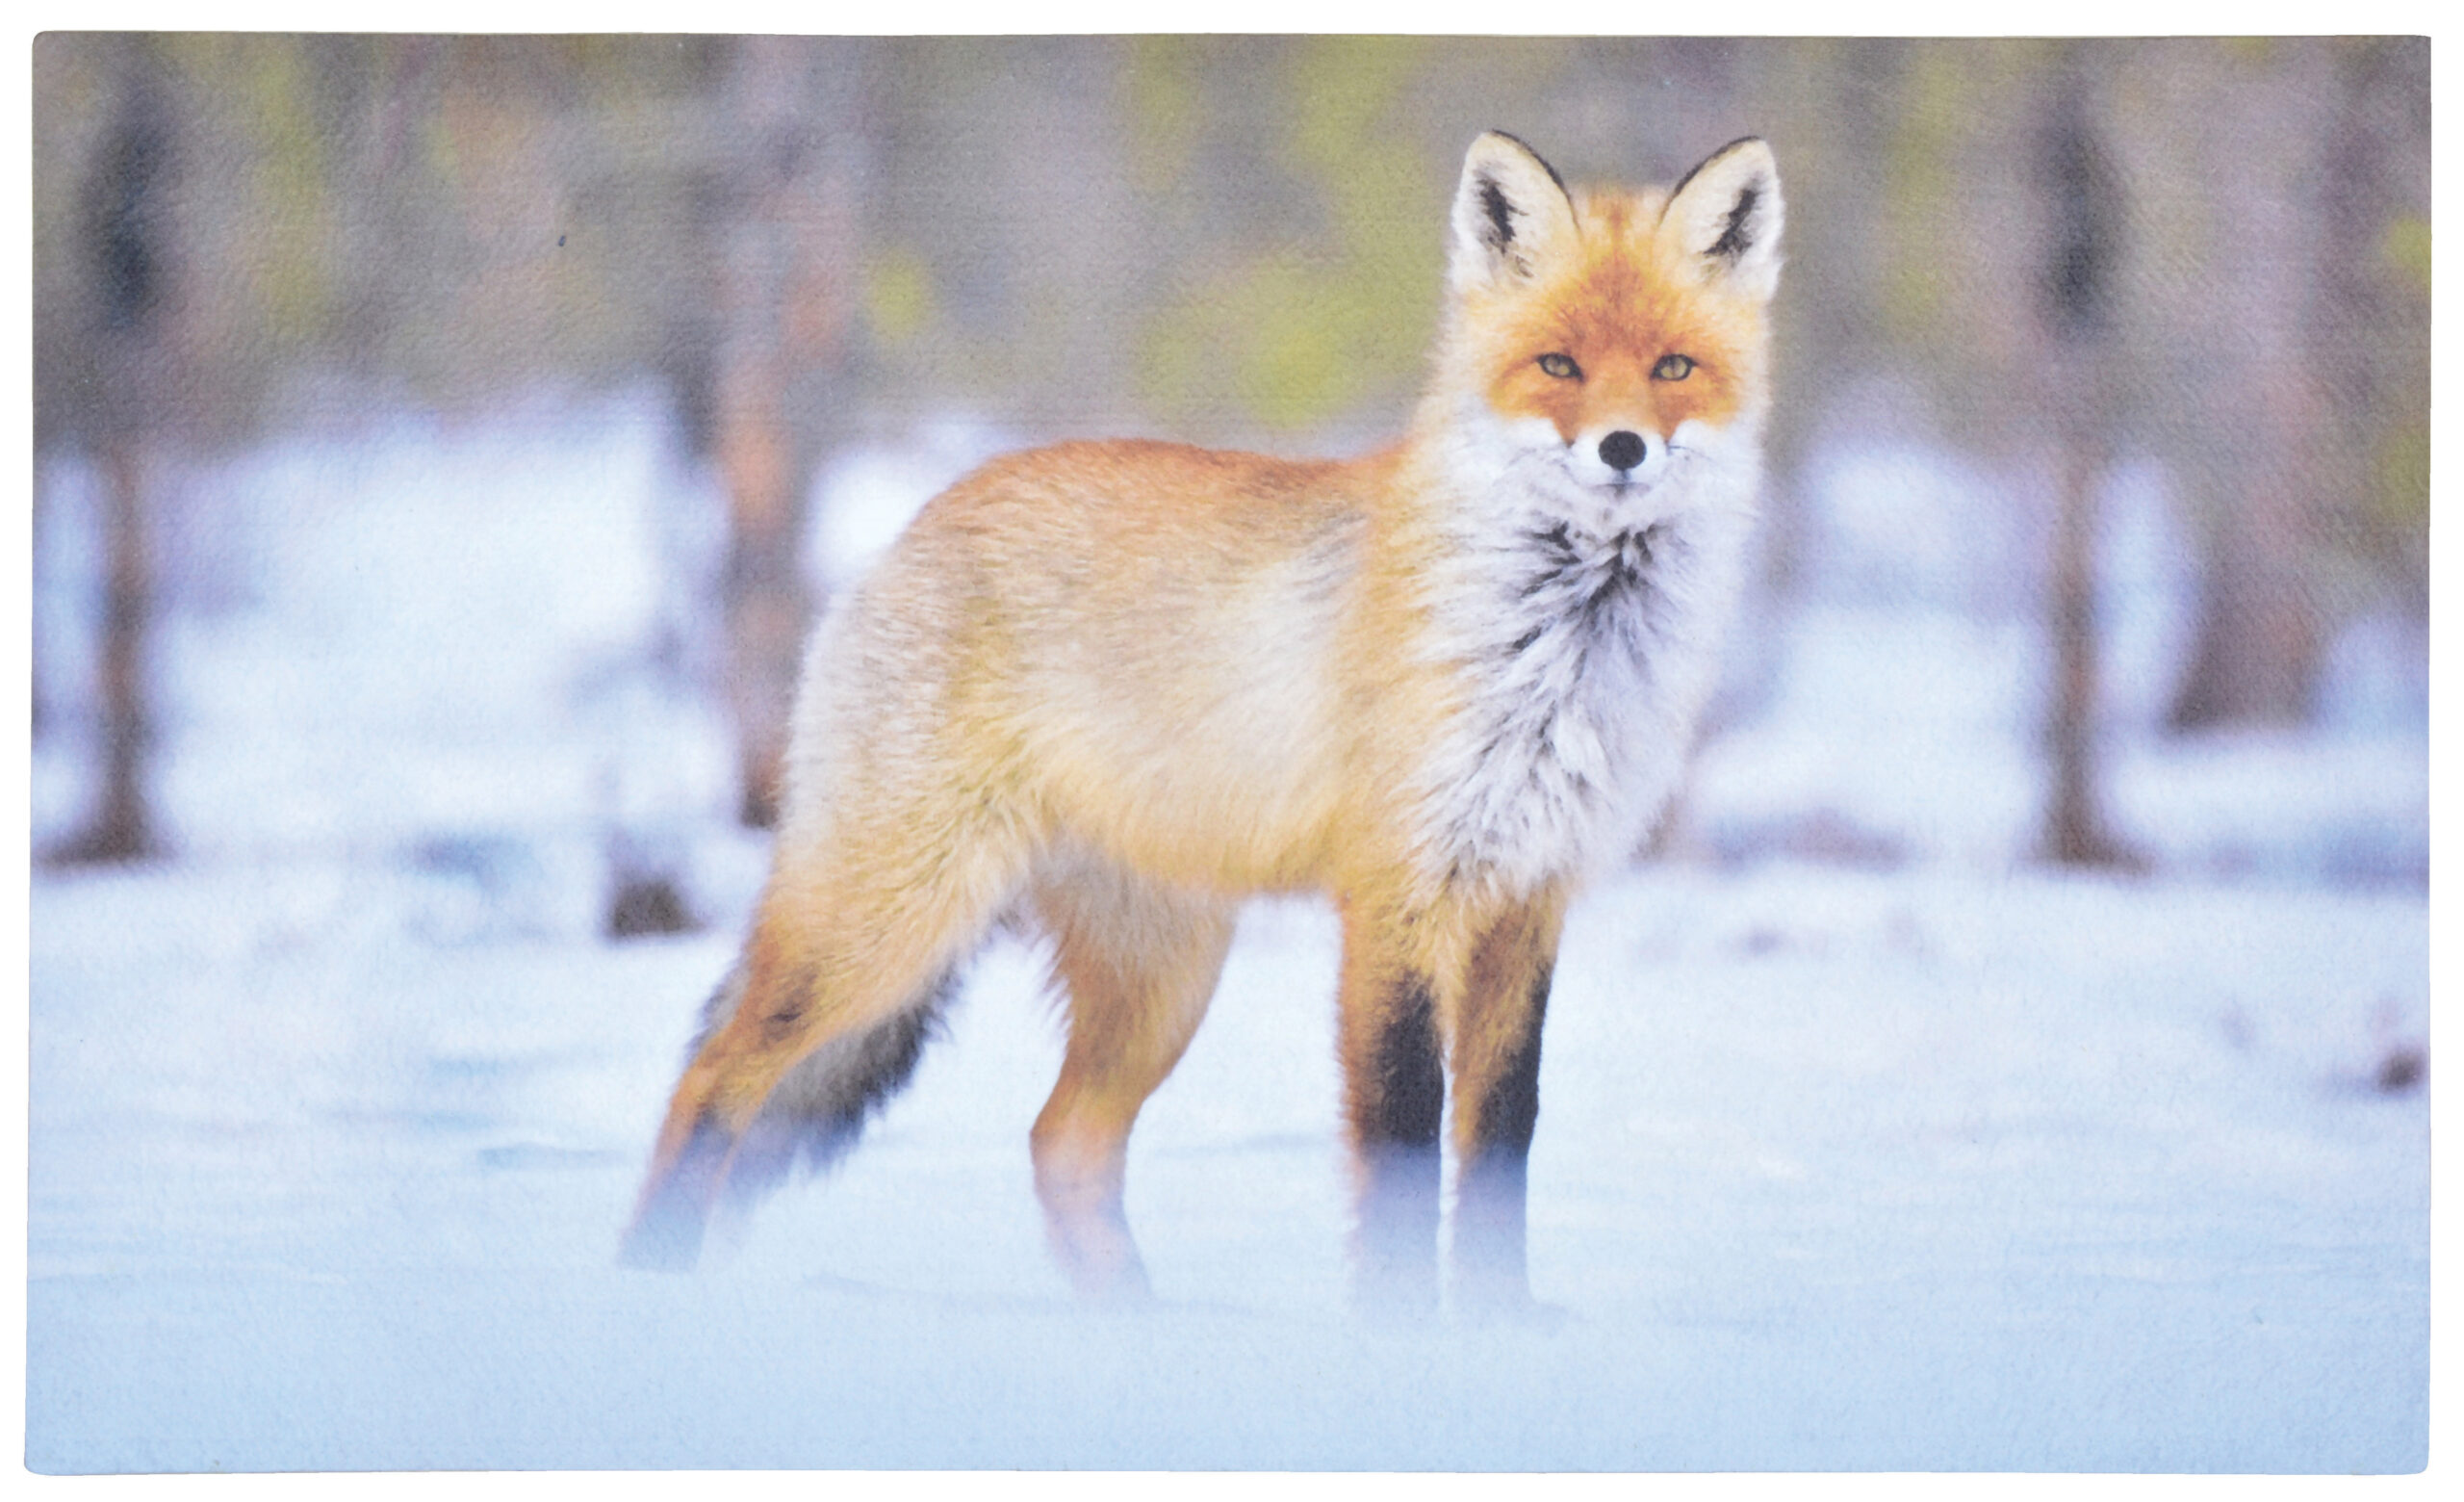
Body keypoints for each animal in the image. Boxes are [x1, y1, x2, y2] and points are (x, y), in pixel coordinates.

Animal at [622, 131, 1783, 1311]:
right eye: (1557, 367)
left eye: (1673, 369)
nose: (1623, 448)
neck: (1558, 644)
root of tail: (910, 527)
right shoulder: (1399, 896)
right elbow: (1403, 1137)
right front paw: (1403, 1326)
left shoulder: (1527, 902)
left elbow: (1502, 1139)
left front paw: (1495, 1323)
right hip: (888, 924)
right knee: (710, 1080)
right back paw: (646, 1285)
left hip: (1161, 983)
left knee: (1061, 1143)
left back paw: (1141, 1326)